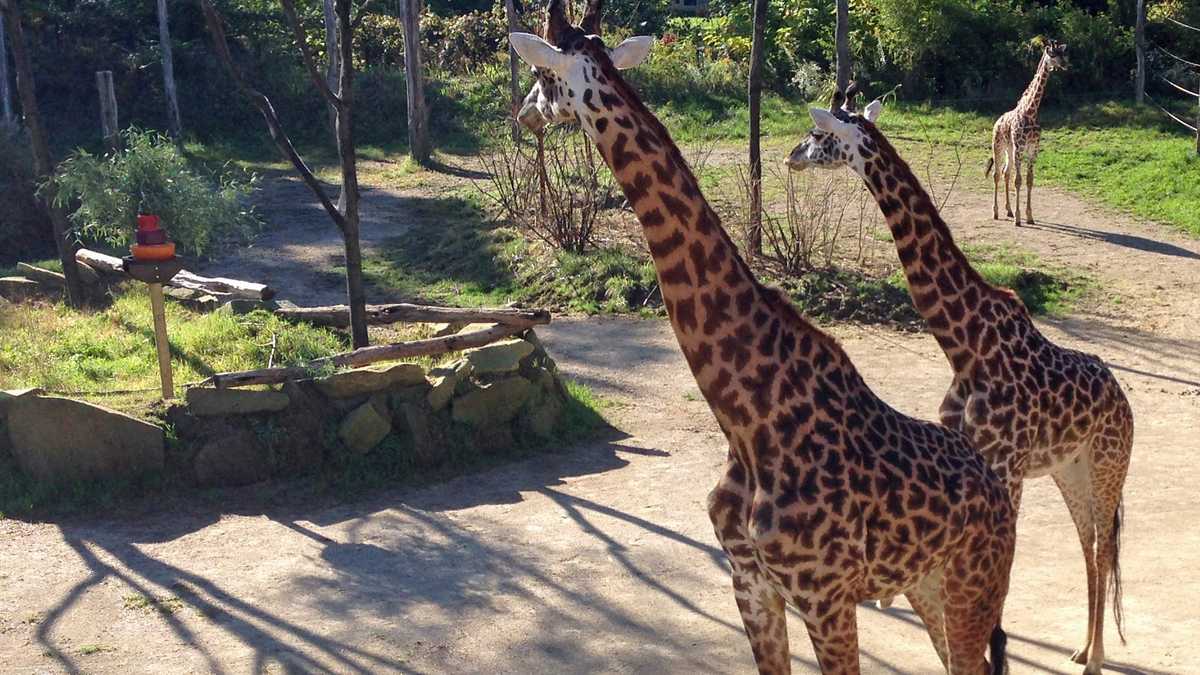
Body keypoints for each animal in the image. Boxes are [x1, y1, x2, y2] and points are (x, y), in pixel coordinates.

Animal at [511, 4, 1016, 673]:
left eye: (541, 76)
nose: (521, 116)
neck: (748, 418)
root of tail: (1000, 493)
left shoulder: (826, 595)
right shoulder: (750, 581)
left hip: (972, 586)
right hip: (928, 586)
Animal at [787, 91, 1133, 675]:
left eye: (817, 136)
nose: (791, 158)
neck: (963, 344)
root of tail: (1125, 401)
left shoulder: (1007, 464)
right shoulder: (979, 458)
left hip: (1109, 462)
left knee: (1105, 547)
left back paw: (1094, 660)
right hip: (1071, 469)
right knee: (1088, 543)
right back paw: (1083, 647)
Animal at [985, 40, 1069, 226]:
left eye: (1063, 53)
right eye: (1052, 54)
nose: (1065, 65)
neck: (1031, 111)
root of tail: (997, 122)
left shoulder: (1033, 149)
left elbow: (1030, 180)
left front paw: (1029, 216)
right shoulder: (1020, 148)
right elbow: (1018, 181)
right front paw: (1018, 219)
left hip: (1009, 149)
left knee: (1005, 172)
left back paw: (1008, 210)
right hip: (998, 146)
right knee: (996, 174)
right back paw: (995, 212)